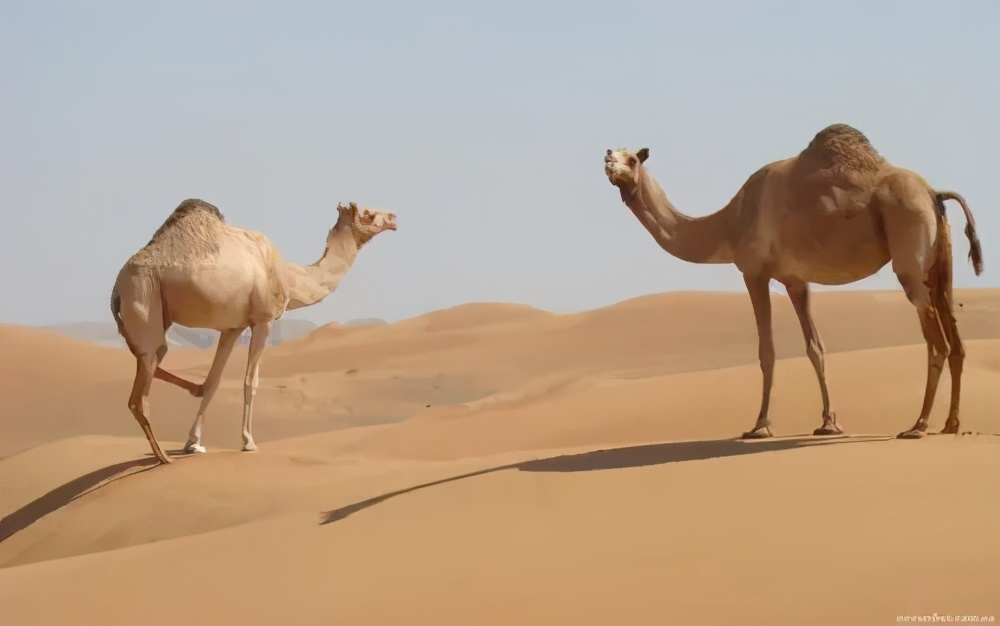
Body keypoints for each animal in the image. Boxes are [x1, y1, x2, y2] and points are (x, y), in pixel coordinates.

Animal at [111, 199, 397, 464]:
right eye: (368, 213)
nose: (393, 217)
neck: (289, 276)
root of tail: (116, 289)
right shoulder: (263, 320)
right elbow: (251, 381)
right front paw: (248, 442)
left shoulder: (232, 327)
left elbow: (214, 380)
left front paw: (193, 442)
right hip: (144, 296)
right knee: (140, 391)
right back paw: (162, 457)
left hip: (154, 316)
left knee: (153, 361)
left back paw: (189, 396)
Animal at [603, 123, 984, 440]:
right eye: (611, 154)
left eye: (632, 159)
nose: (609, 162)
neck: (730, 223)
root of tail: (934, 193)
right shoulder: (795, 279)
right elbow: (815, 347)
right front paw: (829, 423)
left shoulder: (754, 271)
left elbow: (767, 350)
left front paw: (759, 426)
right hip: (940, 264)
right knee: (955, 336)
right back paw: (951, 424)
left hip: (908, 247)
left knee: (937, 341)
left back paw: (918, 426)